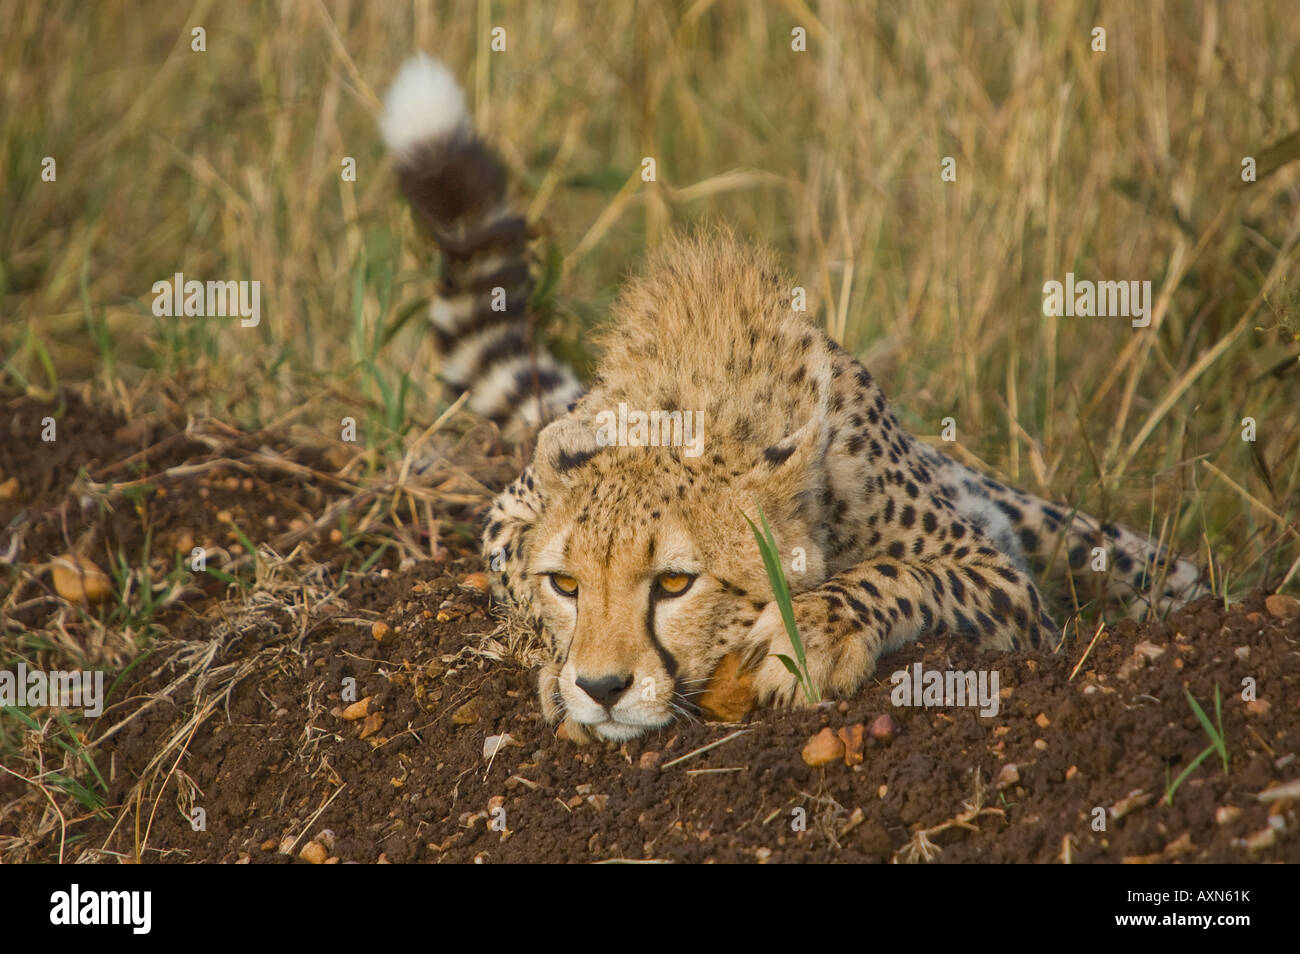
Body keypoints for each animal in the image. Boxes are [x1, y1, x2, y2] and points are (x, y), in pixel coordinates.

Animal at [380, 54, 1207, 743]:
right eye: (567, 583)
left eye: (675, 583)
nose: (603, 686)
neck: (701, 400)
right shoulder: (511, 509)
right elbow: (510, 566)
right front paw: (555, 668)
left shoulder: (999, 578)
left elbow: (905, 573)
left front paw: (811, 631)